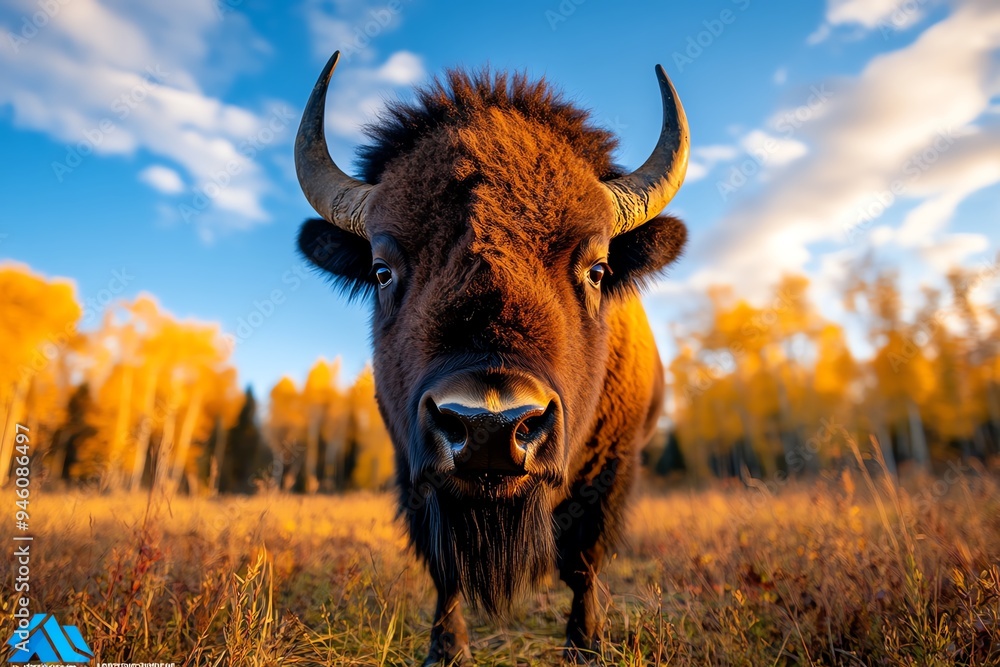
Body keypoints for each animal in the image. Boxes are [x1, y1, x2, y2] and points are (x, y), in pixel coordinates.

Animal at [294, 51, 689, 664]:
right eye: (382, 270)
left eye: (598, 268)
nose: (490, 426)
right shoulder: (416, 473)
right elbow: (445, 568)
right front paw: (447, 649)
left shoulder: (612, 471)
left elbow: (583, 562)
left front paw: (585, 644)